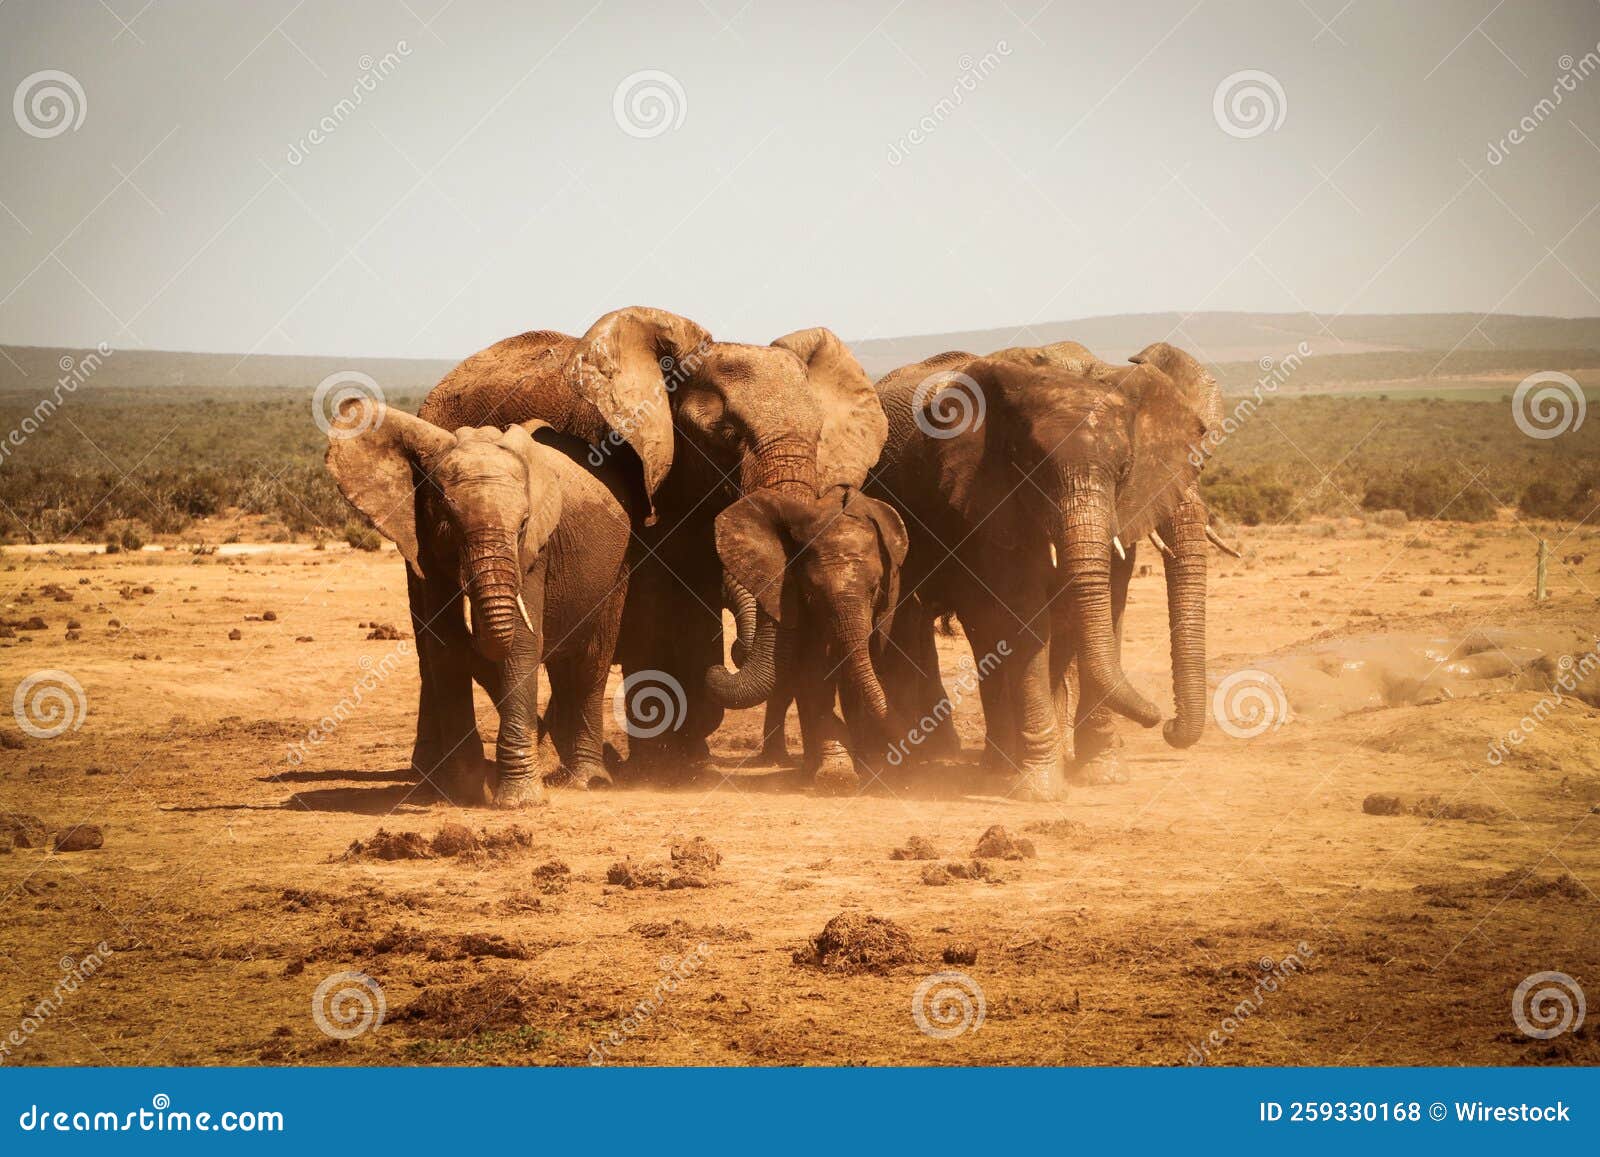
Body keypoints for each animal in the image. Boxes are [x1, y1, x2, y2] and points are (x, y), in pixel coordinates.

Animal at [326, 403, 632, 806]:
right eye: (448, 522)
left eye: (523, 524)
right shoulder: (423, 542)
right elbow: (443, 642)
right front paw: (464, 790)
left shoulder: (536, 550)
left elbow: (520, 642)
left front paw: (519, 801)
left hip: (617, 568)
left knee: (589, 662)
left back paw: (586, 780)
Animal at [410, 308, 887, 777]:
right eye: (728, 435)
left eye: (820, 436)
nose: (731, 655)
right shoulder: (617, 450)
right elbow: (645, 601)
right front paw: (657, 760)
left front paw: (691, 757)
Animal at [713, 484, 908, 793]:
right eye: (811, 593)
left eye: (875, 588)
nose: (719, 666)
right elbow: (814, 671)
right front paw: (836, 776)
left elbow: (856, 667)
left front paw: (861, 769)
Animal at [864, 348, 1209, 799]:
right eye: (1032, 468)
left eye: (1124, 470)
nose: (1162, 722)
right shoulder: (988, 497)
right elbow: (1025, 613)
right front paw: (1039, 790)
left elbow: (1108, 606)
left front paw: (1102, 774)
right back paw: (970, 764)